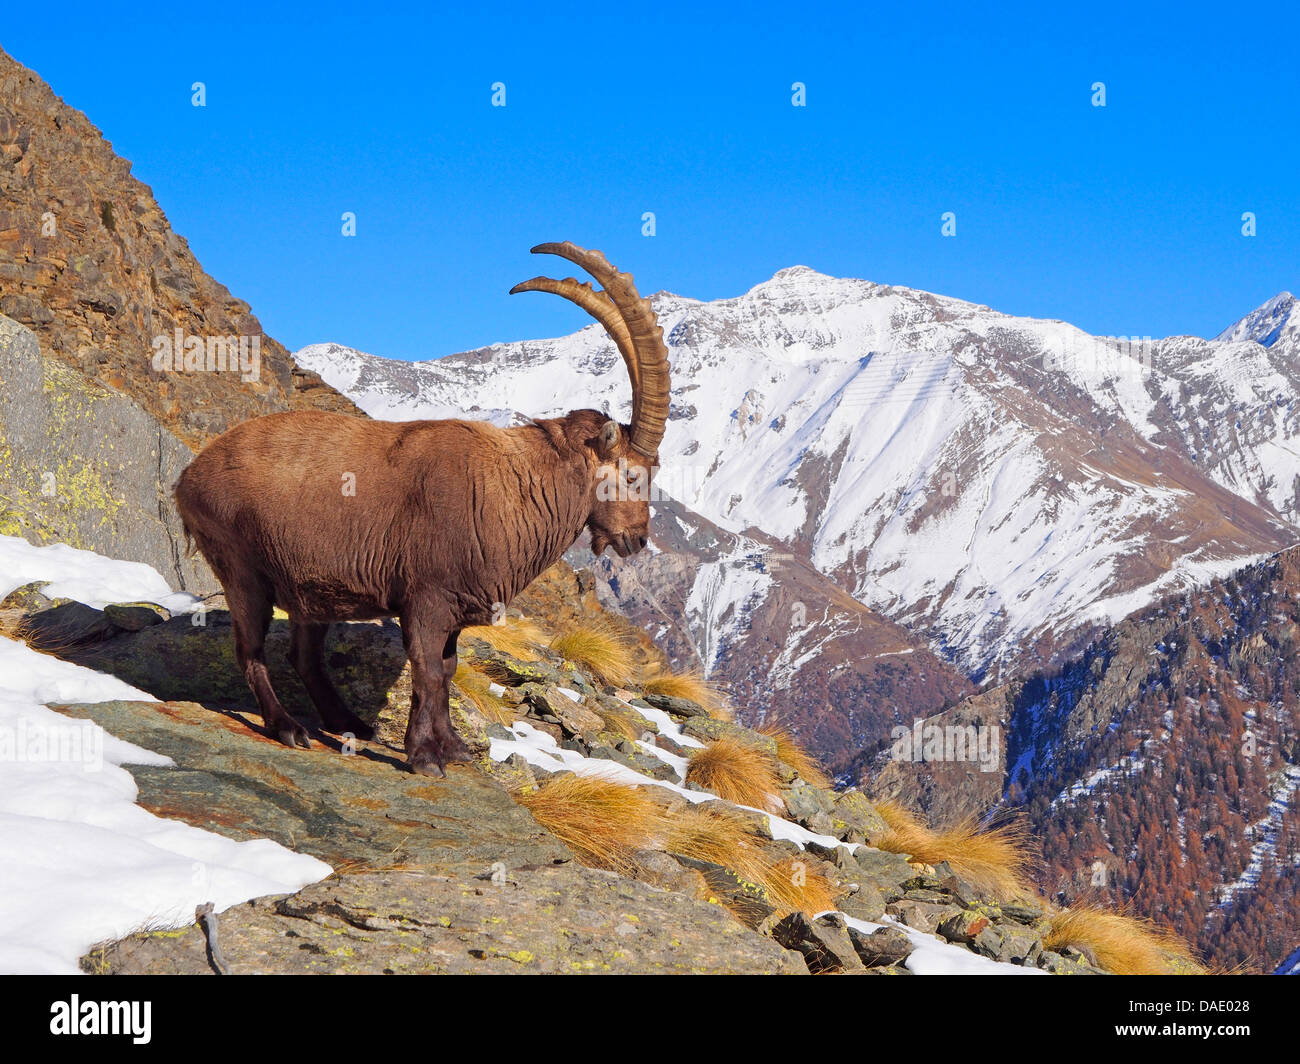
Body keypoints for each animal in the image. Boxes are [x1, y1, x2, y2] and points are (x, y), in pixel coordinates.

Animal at [174, 242, 670, 775]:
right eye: (633, 475)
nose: (637, 539)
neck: (515, 488)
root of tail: (189, 476)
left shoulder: (454, 607)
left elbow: (448, 670)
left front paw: (453, 747)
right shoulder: (426, 598)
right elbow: (427, 669)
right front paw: (423, 756)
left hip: (310, 586)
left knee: (303, 657)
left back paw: (349, 723)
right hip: (242, 570)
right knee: (250, 651)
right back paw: (287, 726)